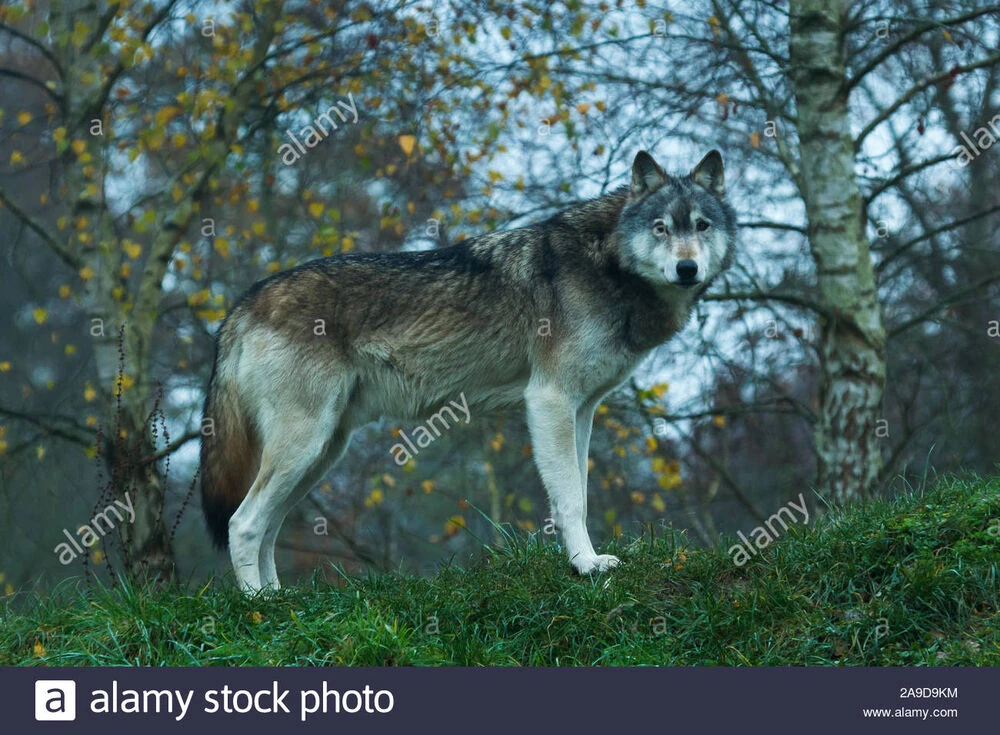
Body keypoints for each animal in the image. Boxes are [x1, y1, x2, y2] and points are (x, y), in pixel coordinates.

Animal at [201, 149, 736, 592]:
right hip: (305, 445)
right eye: (661, 227)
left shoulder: (582, 409)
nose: (687, 269)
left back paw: (279, 599)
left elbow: (579, 490)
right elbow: (570, 498)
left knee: (267, 527)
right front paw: (584, 565)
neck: (607, 263)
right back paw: (258, 606)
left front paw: (586, 559)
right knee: (242, 523)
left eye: (702, 226)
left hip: (322, 452)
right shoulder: (549, 400)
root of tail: (241, 305)